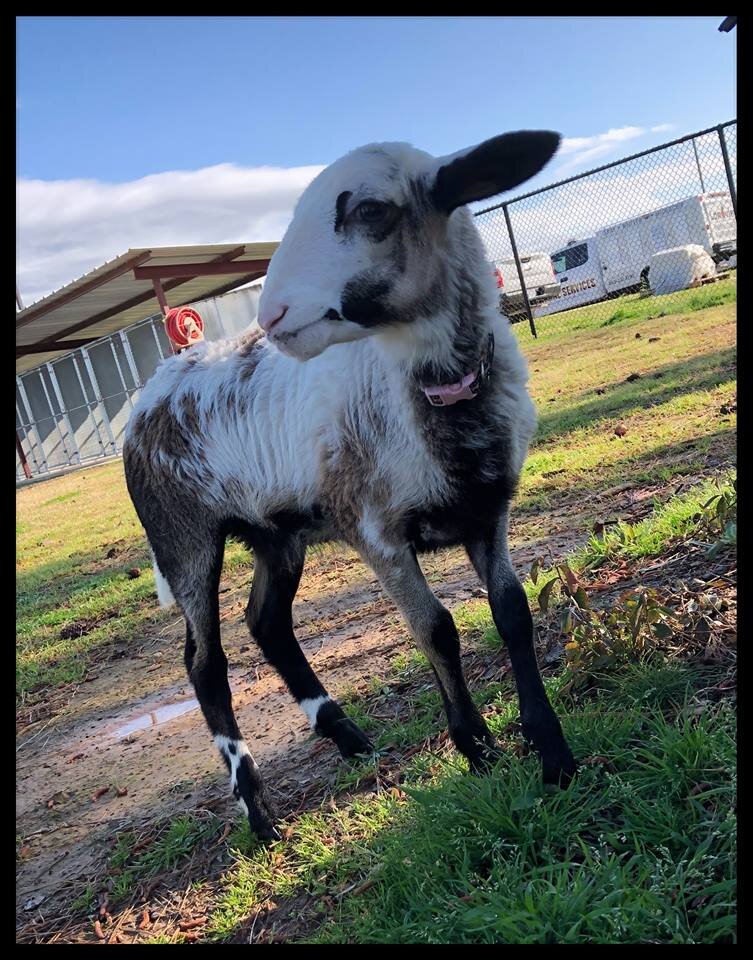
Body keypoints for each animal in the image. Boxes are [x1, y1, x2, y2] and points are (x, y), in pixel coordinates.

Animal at [123, 130, 577, 840]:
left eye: (369, 211)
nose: (273, 314)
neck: (434, 392)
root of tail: (145, 396)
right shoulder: (377, 530)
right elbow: (436, 628)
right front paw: (478, 751)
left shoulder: (488, 510)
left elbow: (511, 611)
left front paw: (552, 753)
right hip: (184, 538)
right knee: (205, 663)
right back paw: (258, 810)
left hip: (274, 530)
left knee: (267, 623)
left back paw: (347, 736)